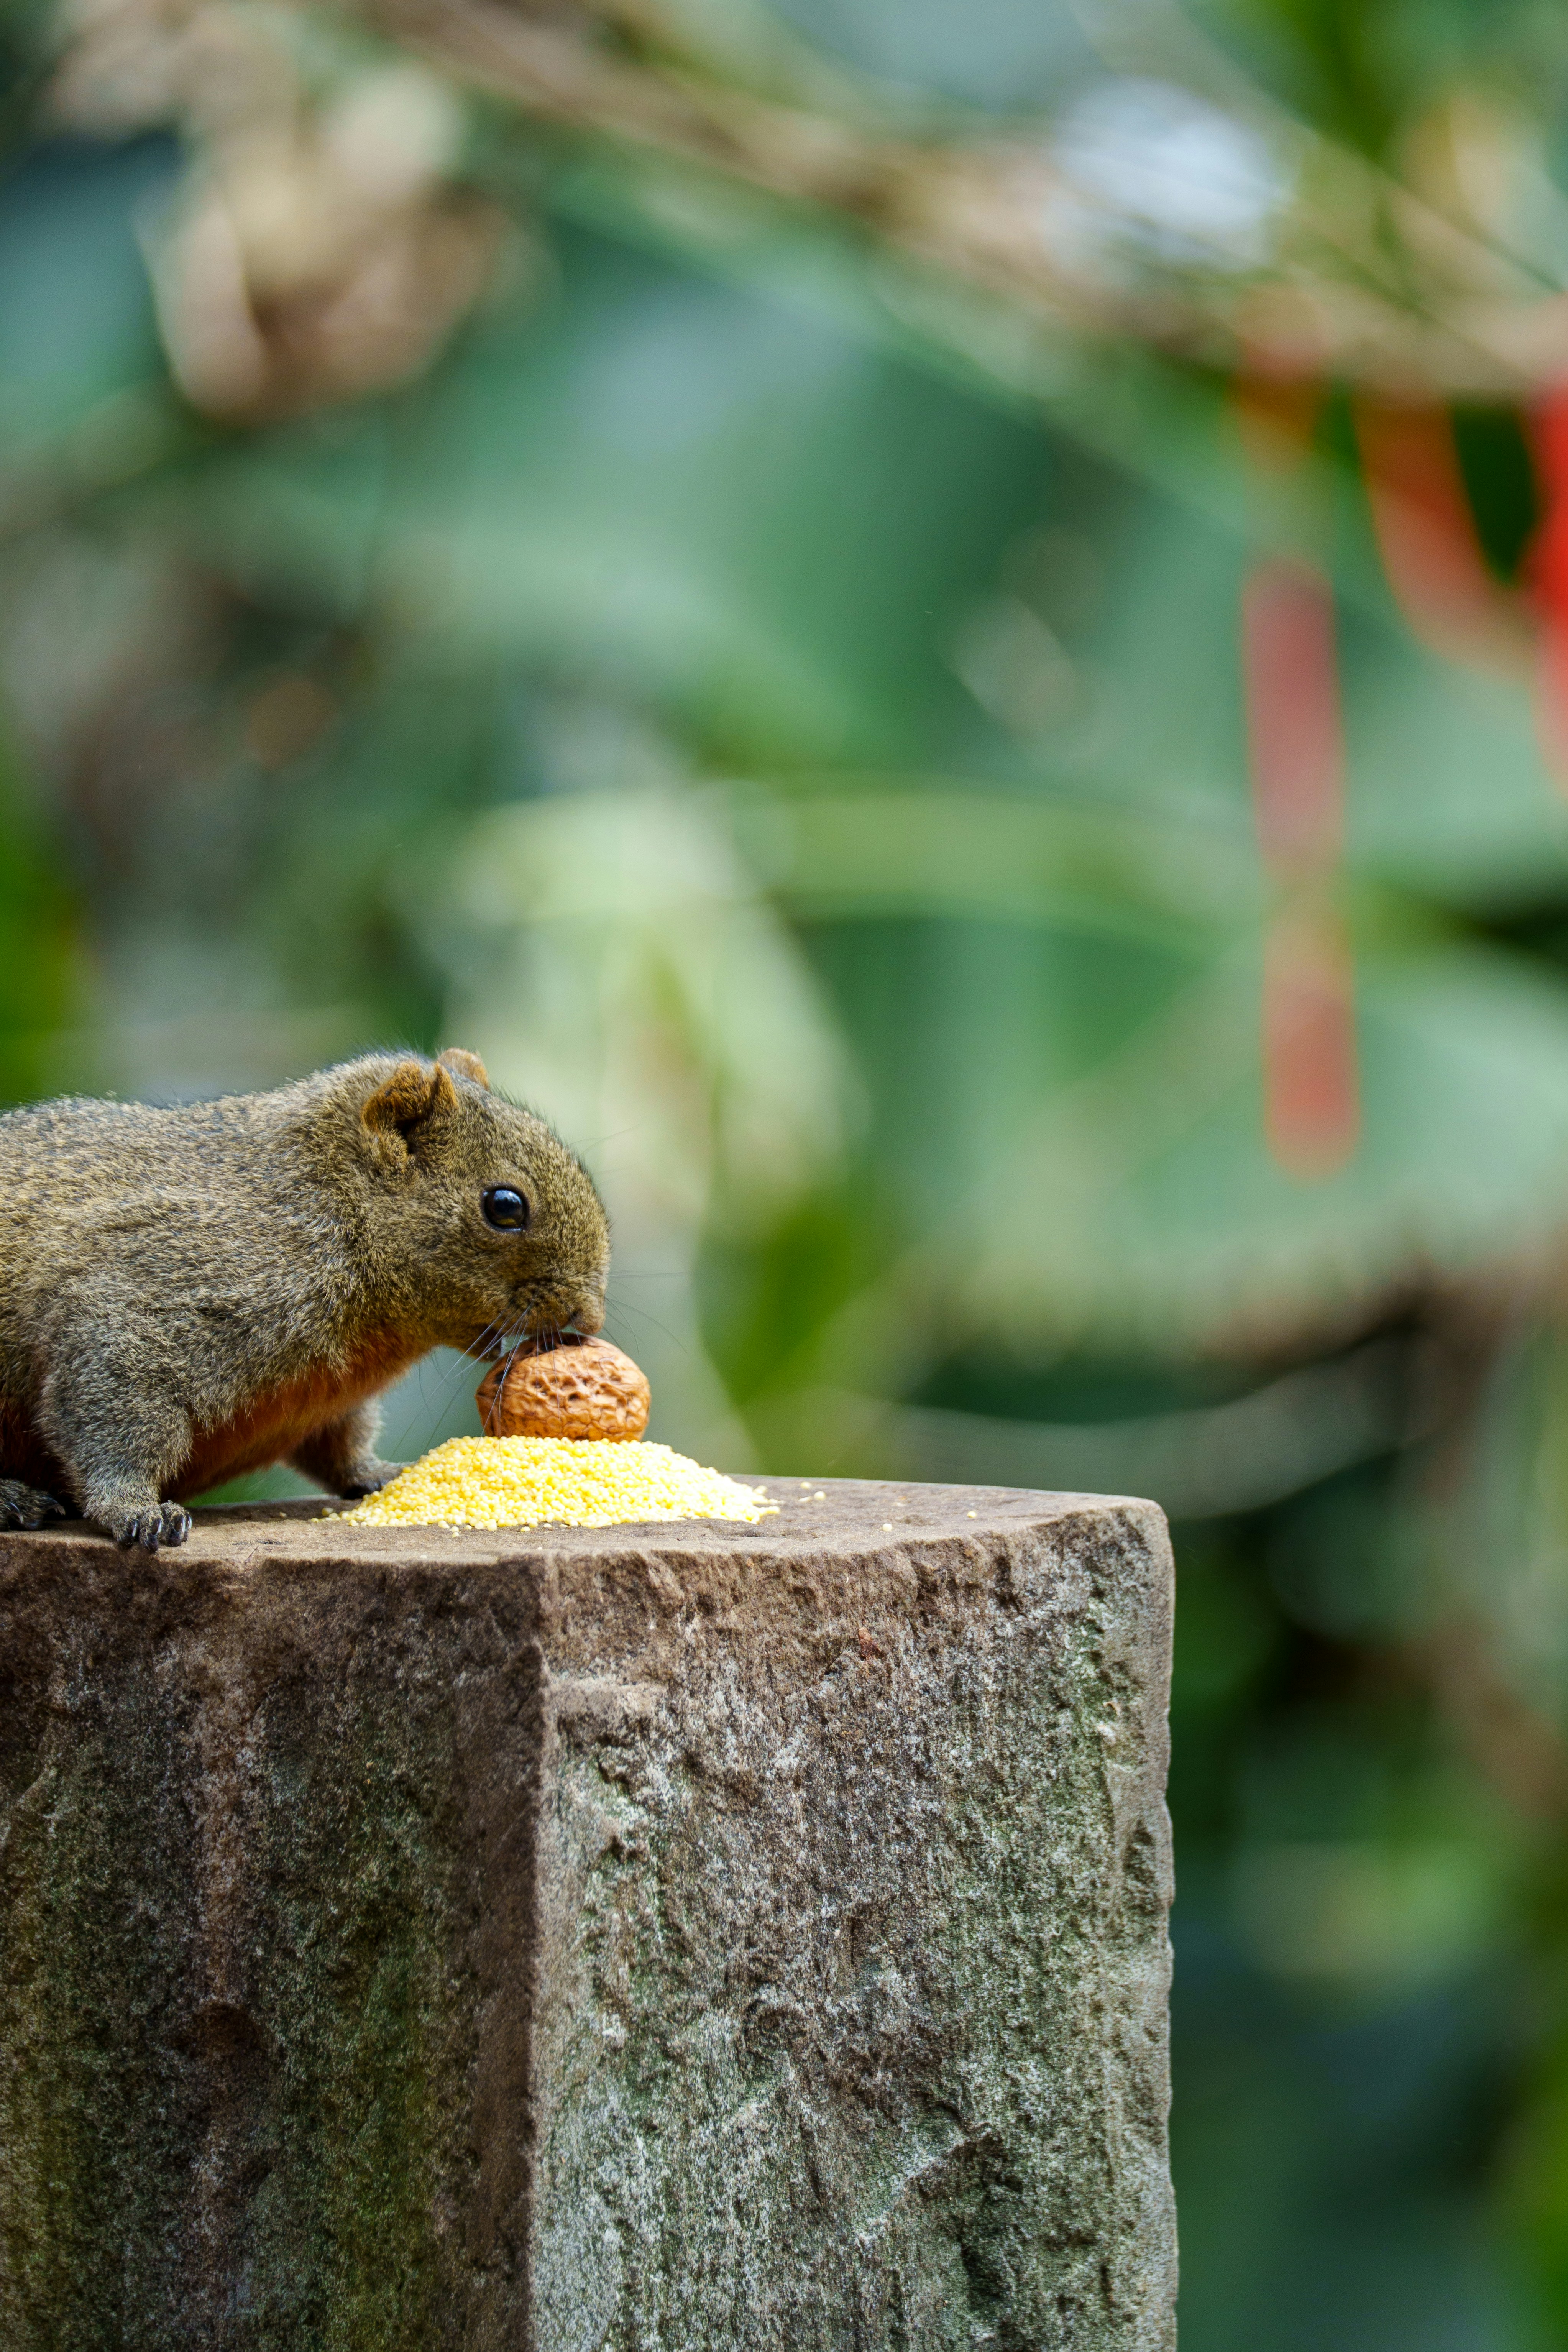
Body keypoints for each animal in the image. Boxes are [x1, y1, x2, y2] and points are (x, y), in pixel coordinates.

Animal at [0, 1048, 609, 1550]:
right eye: (504, 1206)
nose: (590, 1318)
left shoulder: (332, 1401)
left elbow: (339, 1448)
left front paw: (380, 1474)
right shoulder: (150, 1291)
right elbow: (113, 1413)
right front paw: (134, 1509)